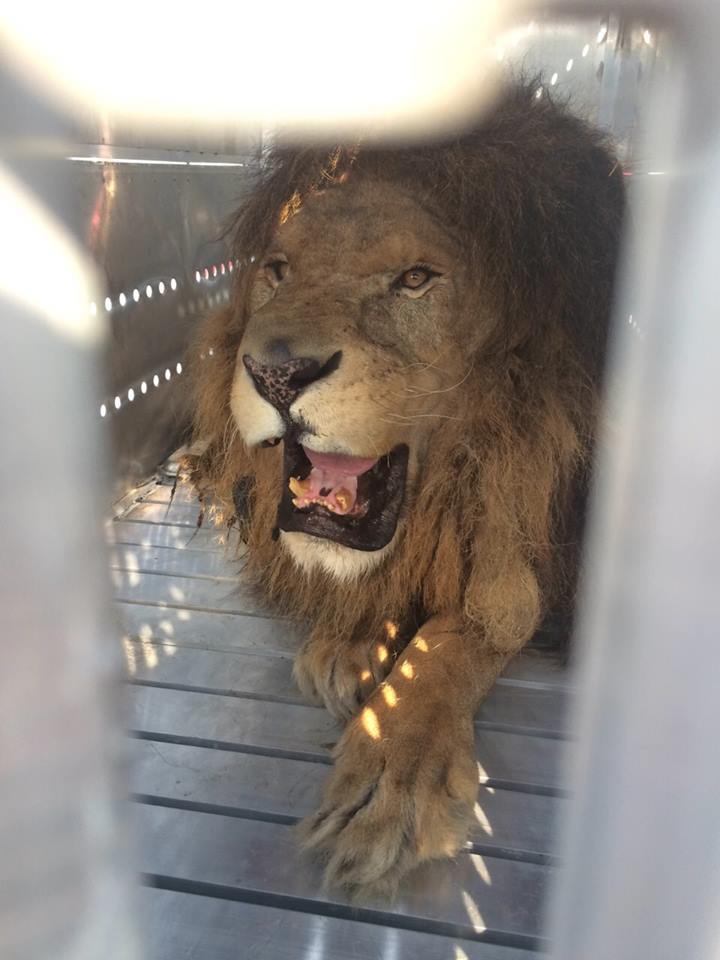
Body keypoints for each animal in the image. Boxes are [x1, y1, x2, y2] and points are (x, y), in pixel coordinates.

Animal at [187, 80, 625, 896]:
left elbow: (471, 627)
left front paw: (391, 776)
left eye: (415, 279)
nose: (277, 374)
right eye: (278, 268)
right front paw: (352, 639)